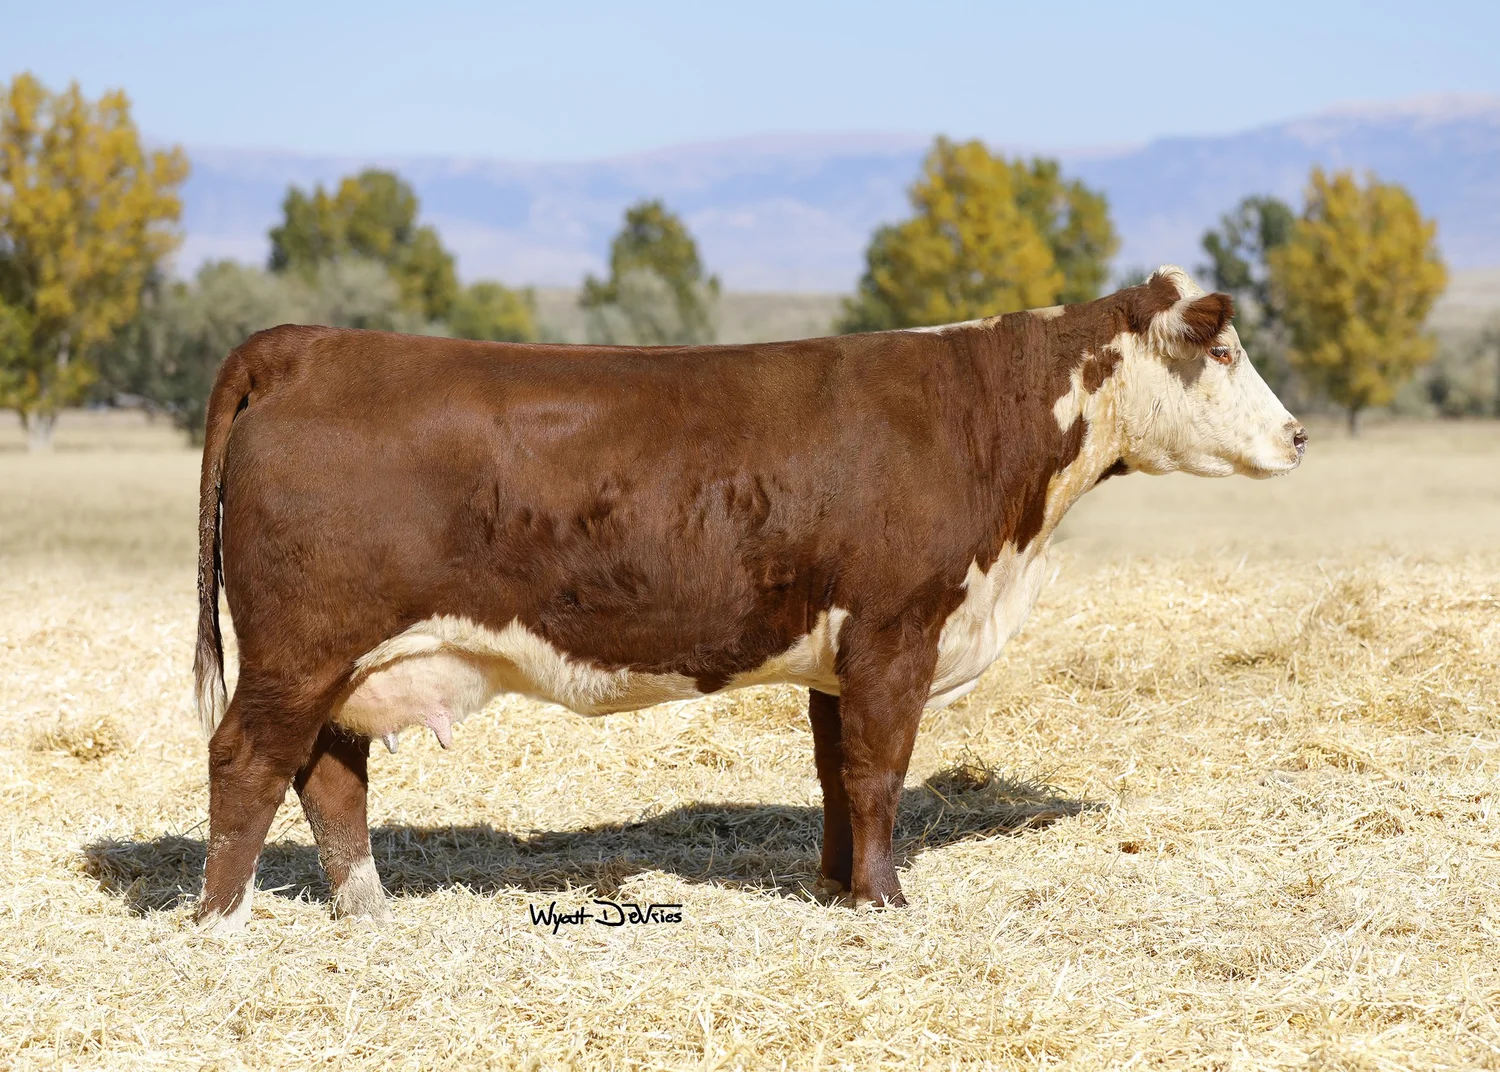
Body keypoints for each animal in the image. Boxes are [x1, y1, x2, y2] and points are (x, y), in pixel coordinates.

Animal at [190, 265, 1305, 932]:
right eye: (1222, 351)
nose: (1297, 435)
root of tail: (311, 343)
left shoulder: (839, 657)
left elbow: (836, 778)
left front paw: (837, 887)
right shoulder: (896, 634)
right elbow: (879, 774)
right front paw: (888, 900)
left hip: (343, 663)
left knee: (330, 775)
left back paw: (367, 910)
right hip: (300, 648)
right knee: (246, 759)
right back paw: (221, 922)